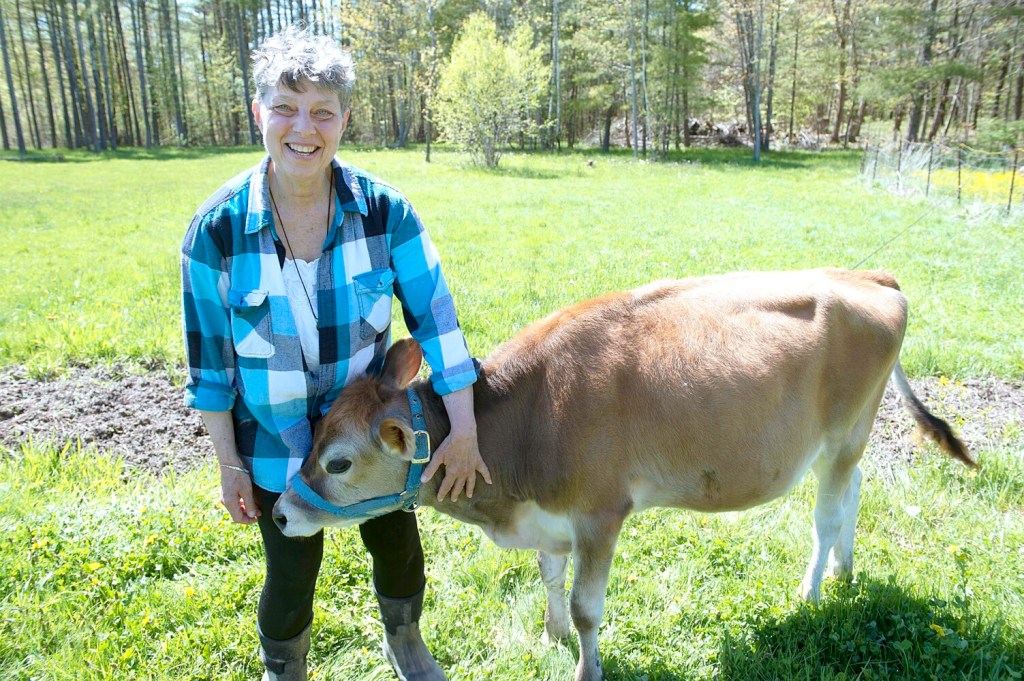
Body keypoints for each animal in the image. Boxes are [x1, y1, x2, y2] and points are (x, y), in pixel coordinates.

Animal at [273, 268, 974, 681]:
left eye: (339, 461)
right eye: (315, 426)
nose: (279, 512)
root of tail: (860, 274)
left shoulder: (600, 513)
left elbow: (589, 608)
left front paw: (585, 665)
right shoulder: (553, 516)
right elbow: (550, 574)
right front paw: (551, 633)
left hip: (845, 432)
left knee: (826, 515)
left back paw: (812, 592)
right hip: (848, 441)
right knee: (852, 493)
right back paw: (847, 571)